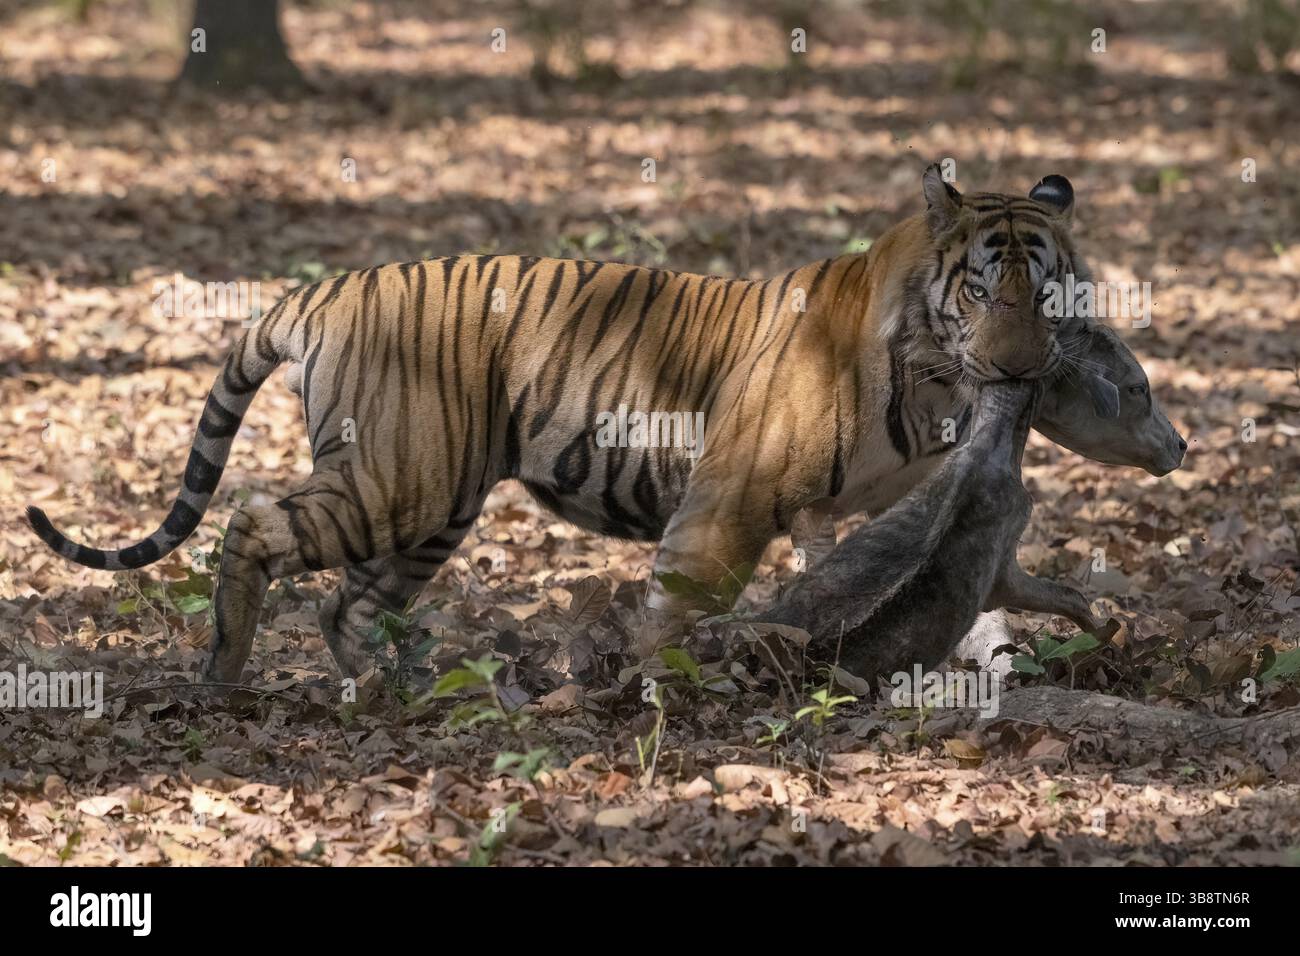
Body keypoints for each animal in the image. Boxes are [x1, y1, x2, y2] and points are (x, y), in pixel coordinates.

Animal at [28, 164, 1090, 683]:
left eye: (1047, 290)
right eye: (981, 288)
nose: (1021, 369)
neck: (932, 375)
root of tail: (330, 287)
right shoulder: (732, 497)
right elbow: (681, 604)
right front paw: (661, 690)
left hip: (436, 508)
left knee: (348, 604)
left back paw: (388, 689)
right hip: (395, 482)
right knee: (252, 528)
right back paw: (225, 669)